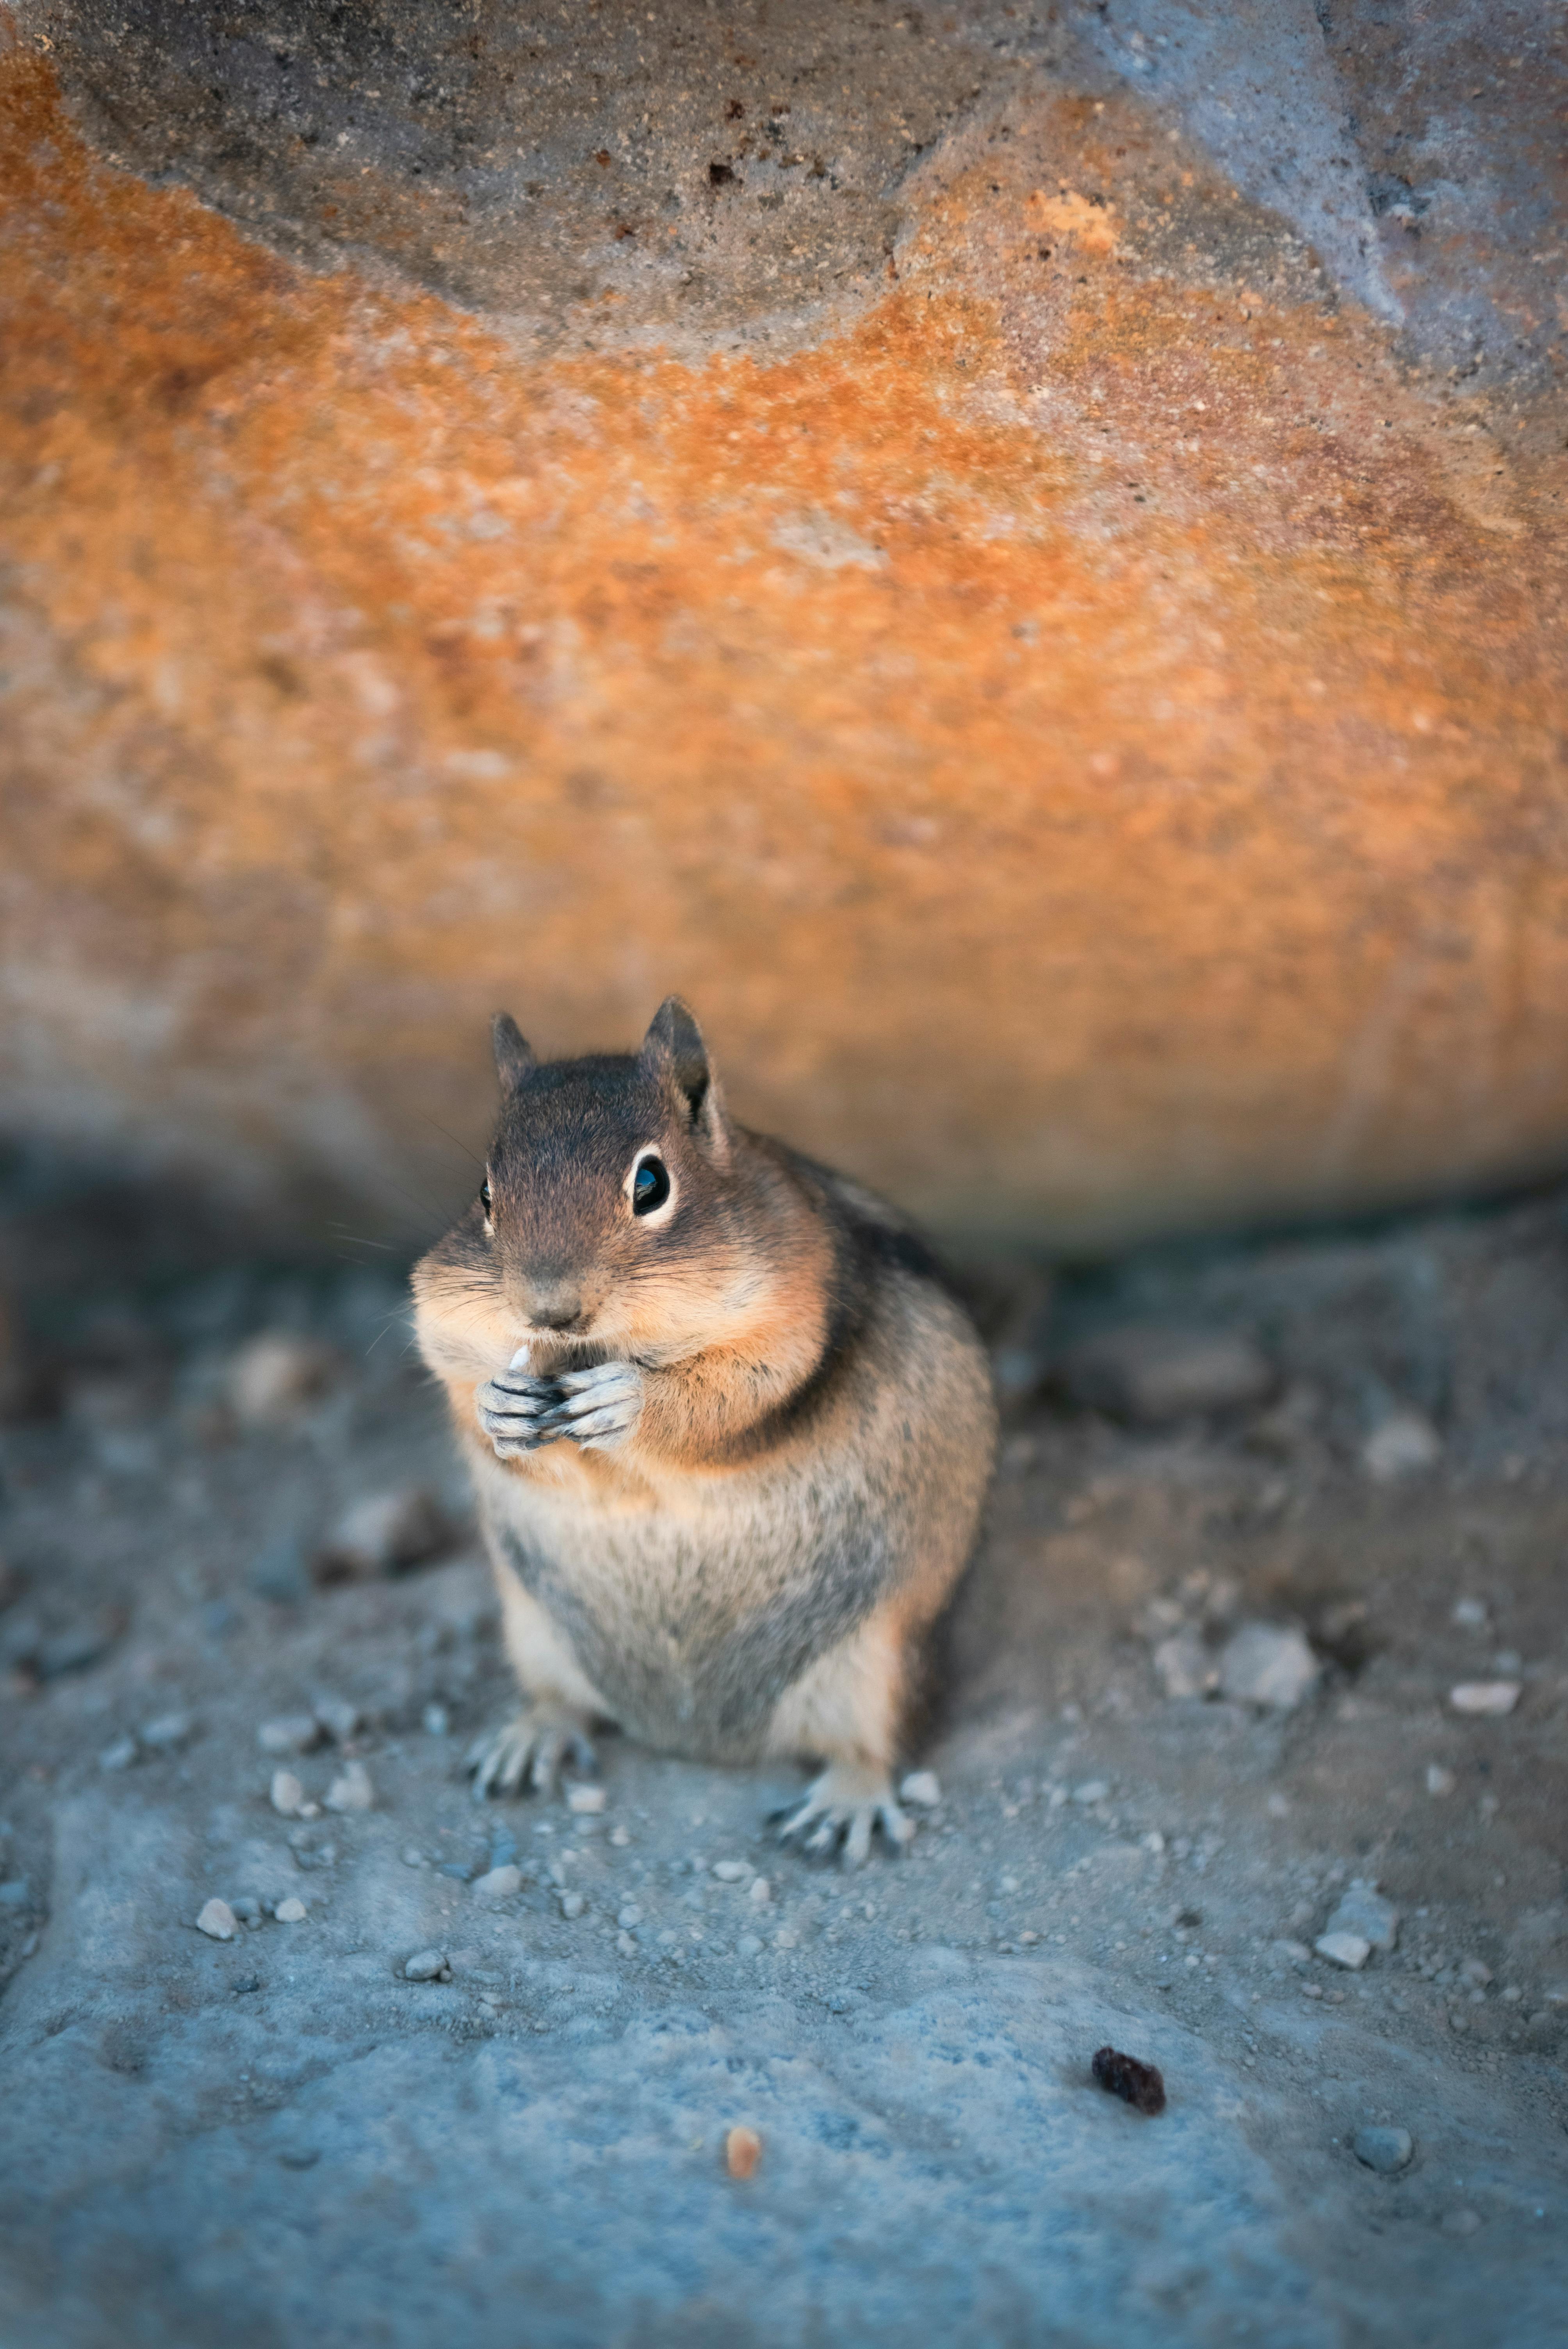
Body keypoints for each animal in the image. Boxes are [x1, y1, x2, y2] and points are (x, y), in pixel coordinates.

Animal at [412, 997, 996, 1864]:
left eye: (651, 1183)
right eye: (484, 1192)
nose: (549, 1308)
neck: (595, 1347)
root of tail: (696, 1739)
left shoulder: (787, 1320)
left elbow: (725, 1397)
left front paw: (626, 1402)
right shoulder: (444, 1315)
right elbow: (454, 1369)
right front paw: (499, 1403)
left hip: (882, 1656)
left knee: (873, 1746)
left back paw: (844, 1807)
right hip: (533, 1630)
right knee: (563, 1701)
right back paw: (527, 1739)